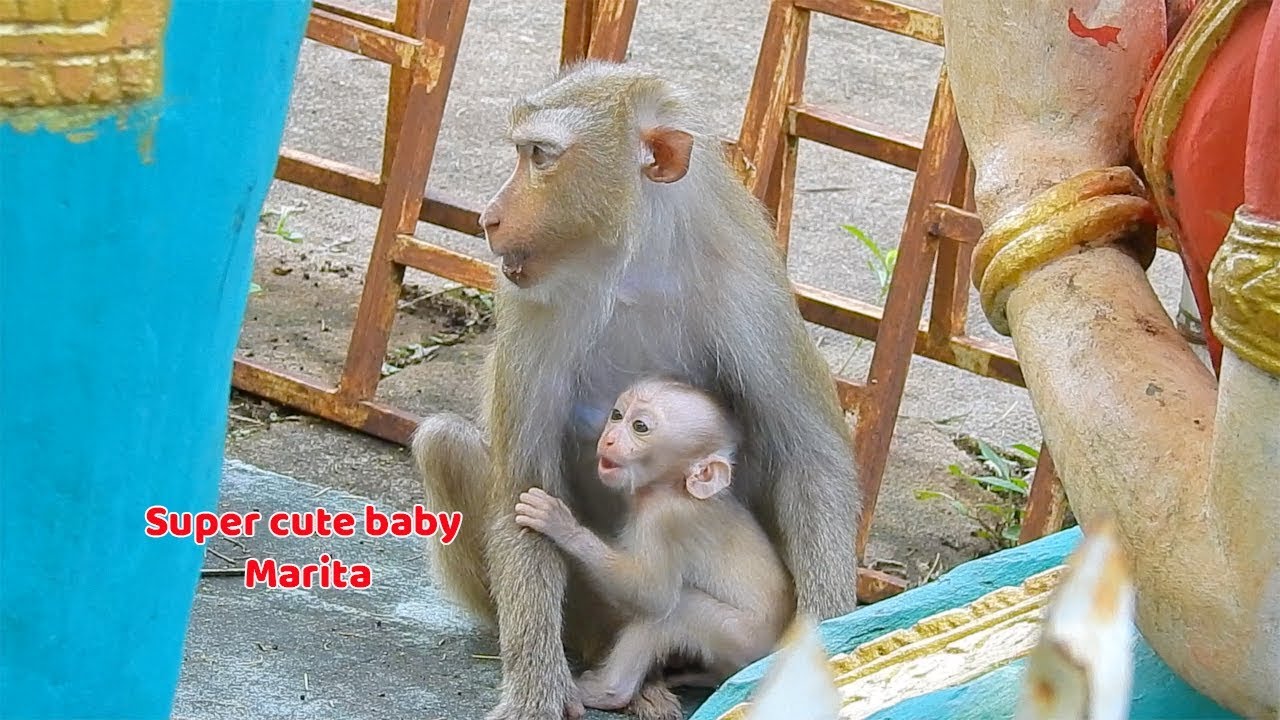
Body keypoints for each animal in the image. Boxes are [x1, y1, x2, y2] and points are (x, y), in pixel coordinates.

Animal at [513, 379, 795, 711]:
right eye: (617, 415)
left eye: (640, 427)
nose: (609, 439)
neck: (673, 487)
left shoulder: (664, 520)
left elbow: (652, 593)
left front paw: (562, 525)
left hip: (742, 639)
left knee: (676, 610)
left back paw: (609, 691)